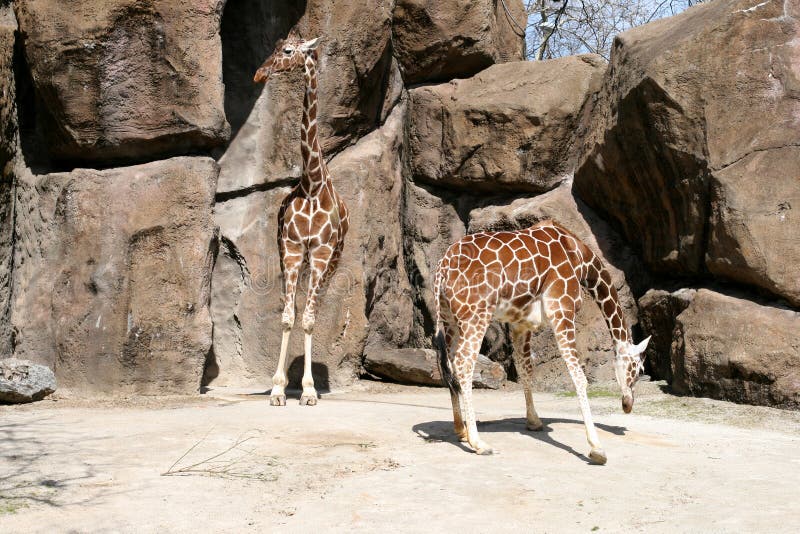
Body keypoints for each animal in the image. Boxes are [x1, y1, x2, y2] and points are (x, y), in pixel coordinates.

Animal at [254, 34, 349, 406]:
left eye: (288, 51)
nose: (259, 73)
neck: (311, 185)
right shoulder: (292, 248)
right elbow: (287, 317)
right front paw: (278, 389)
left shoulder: (321, 252)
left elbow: (307, 320)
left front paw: (308, 390)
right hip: (297, 258)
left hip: (331, 262)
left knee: (315, 310)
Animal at [433, 220, 650, 464]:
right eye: (640, 370)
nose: (628, 405)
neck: (581, 257)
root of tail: (442, 268)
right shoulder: (562, 310)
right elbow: (579, 377)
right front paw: (596, 448)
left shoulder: (521, 323)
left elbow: (525, 369)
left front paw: (534, 421)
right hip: (476, 314)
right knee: (464, 363)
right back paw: (479, 443)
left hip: (450, 319)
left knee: (449, 364)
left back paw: (461, 430)